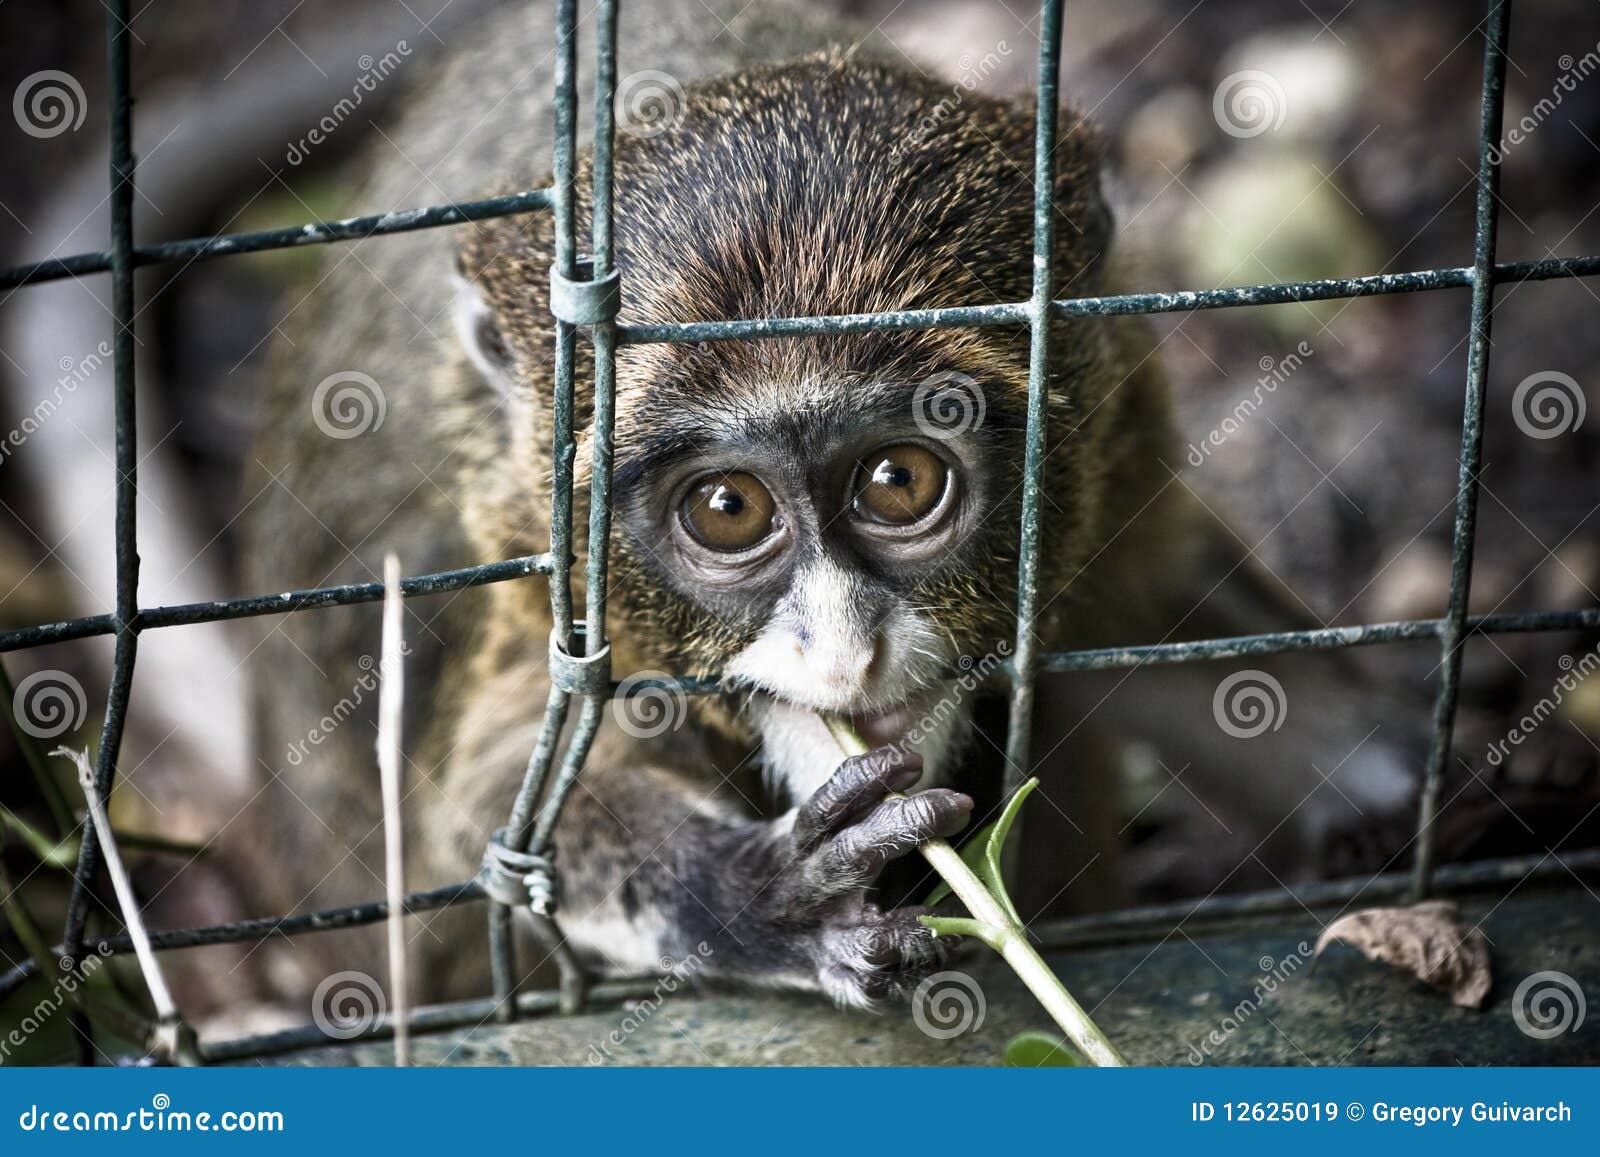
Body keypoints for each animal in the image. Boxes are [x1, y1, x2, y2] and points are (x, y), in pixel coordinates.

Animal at [231, 0, 1425, 1015]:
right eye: (725, 506)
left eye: (899, 481)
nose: (848, 651)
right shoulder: (542, 596)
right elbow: (482, 808)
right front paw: (752, 898)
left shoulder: (1120, 444)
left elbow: (1166, 616)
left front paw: (1410, 791)